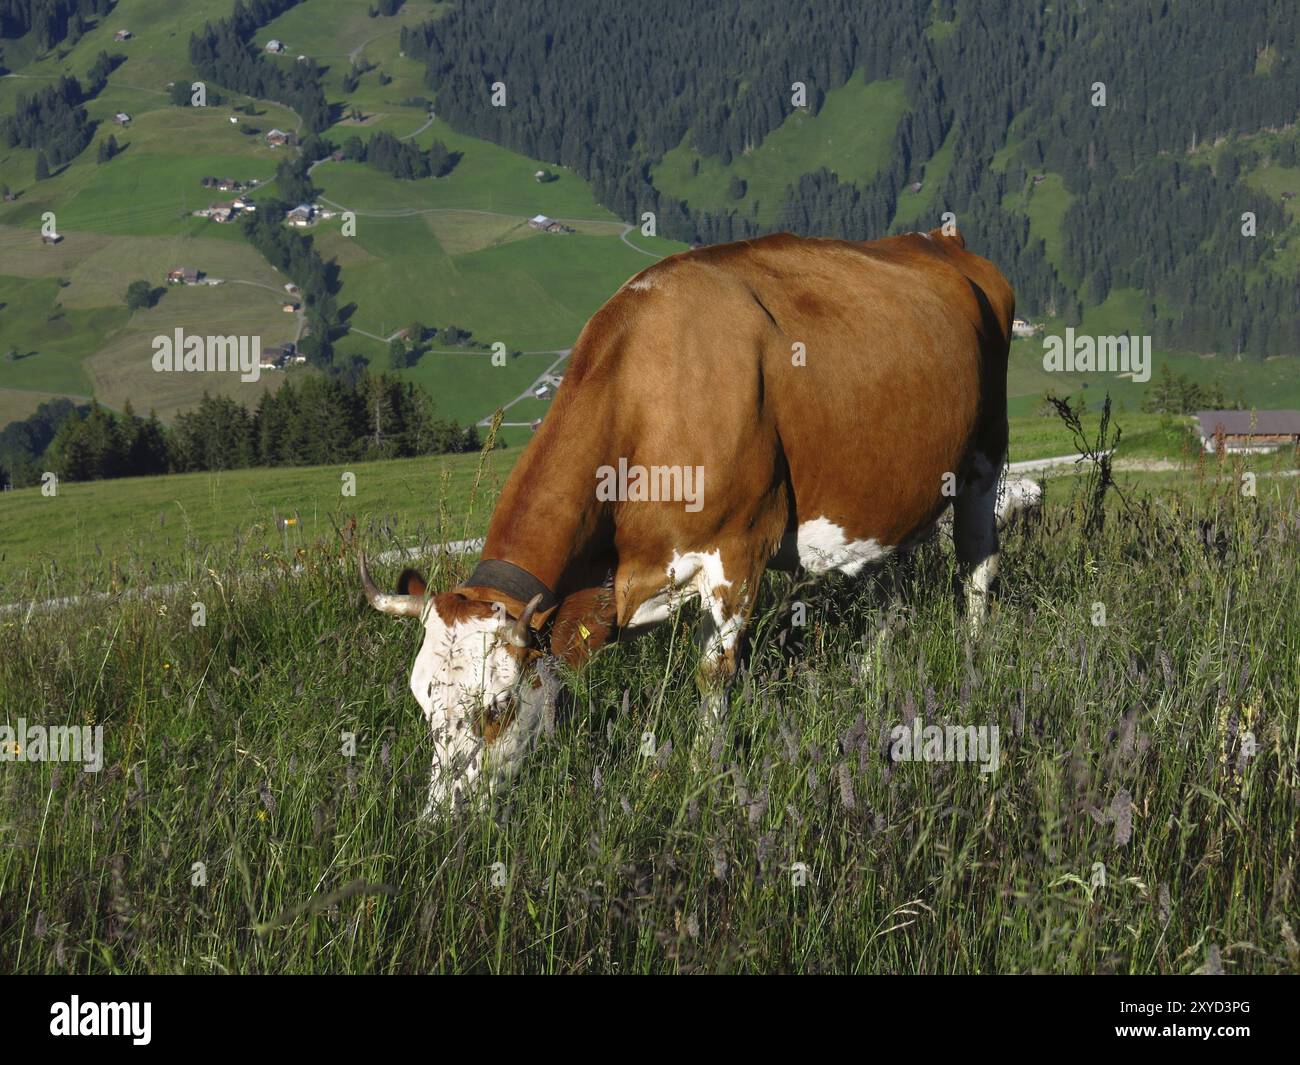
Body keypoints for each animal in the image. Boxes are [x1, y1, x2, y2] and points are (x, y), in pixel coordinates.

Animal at [360, 227, 1015, 818]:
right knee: (885, 597)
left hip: (986, 458)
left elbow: (713, 675)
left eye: (495, 706)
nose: (441, 820)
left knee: (978, 566)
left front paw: (704, 775)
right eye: (422, 704)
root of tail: (942, 240)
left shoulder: (739, 551)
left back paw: (975, 663)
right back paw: (877, 682)